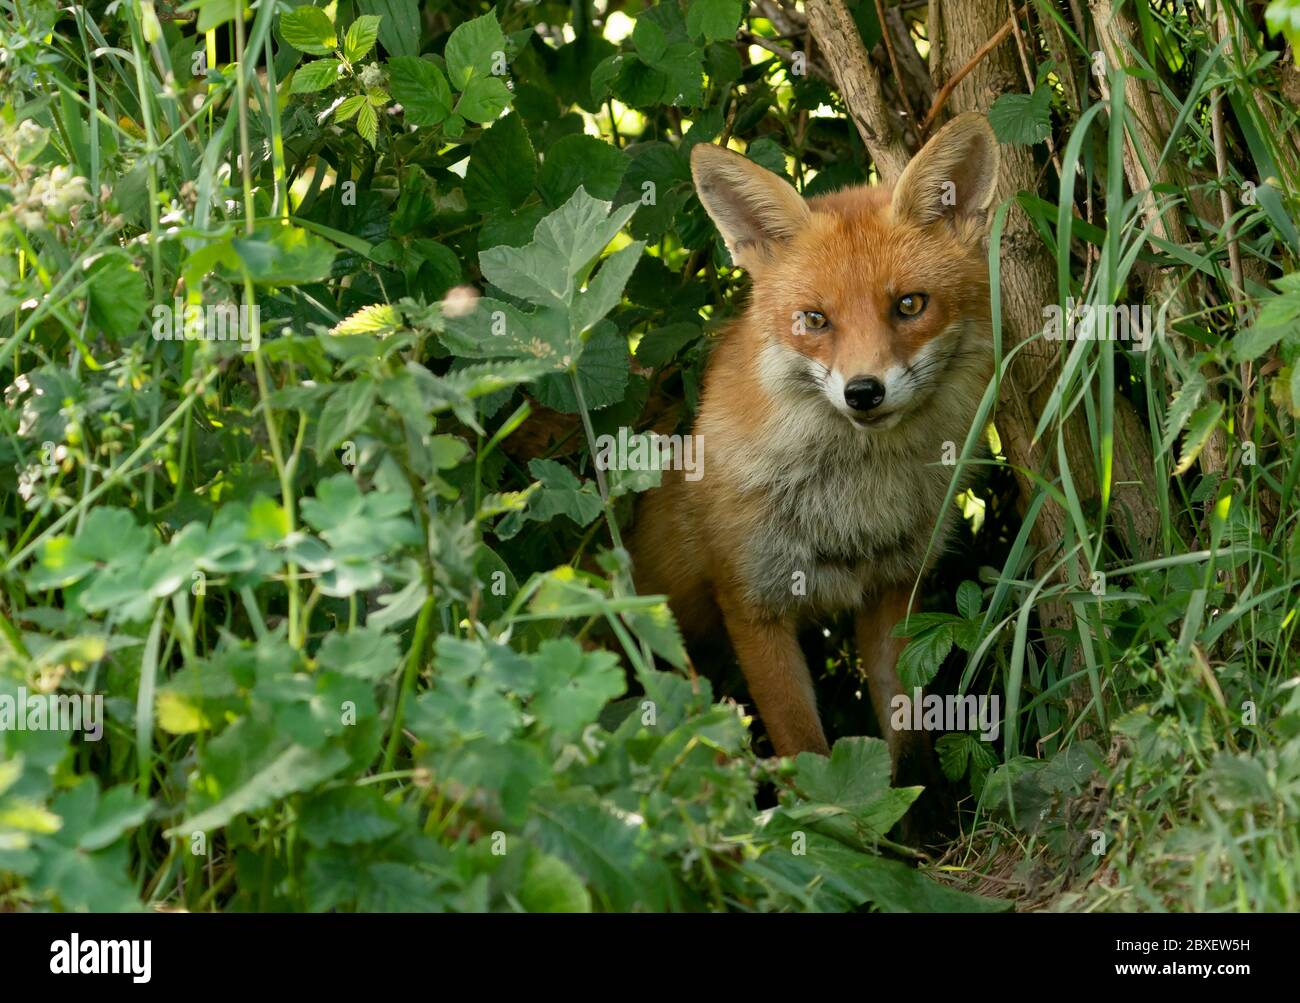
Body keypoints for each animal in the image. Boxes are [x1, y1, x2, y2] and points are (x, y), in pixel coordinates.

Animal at [628, 113, 1000, 777]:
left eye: (909, 305)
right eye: (815, 320)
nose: (864, 392)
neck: (852, 503)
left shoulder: (892, 588)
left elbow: (905, 743)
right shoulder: (752, 602)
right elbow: (804, 752)